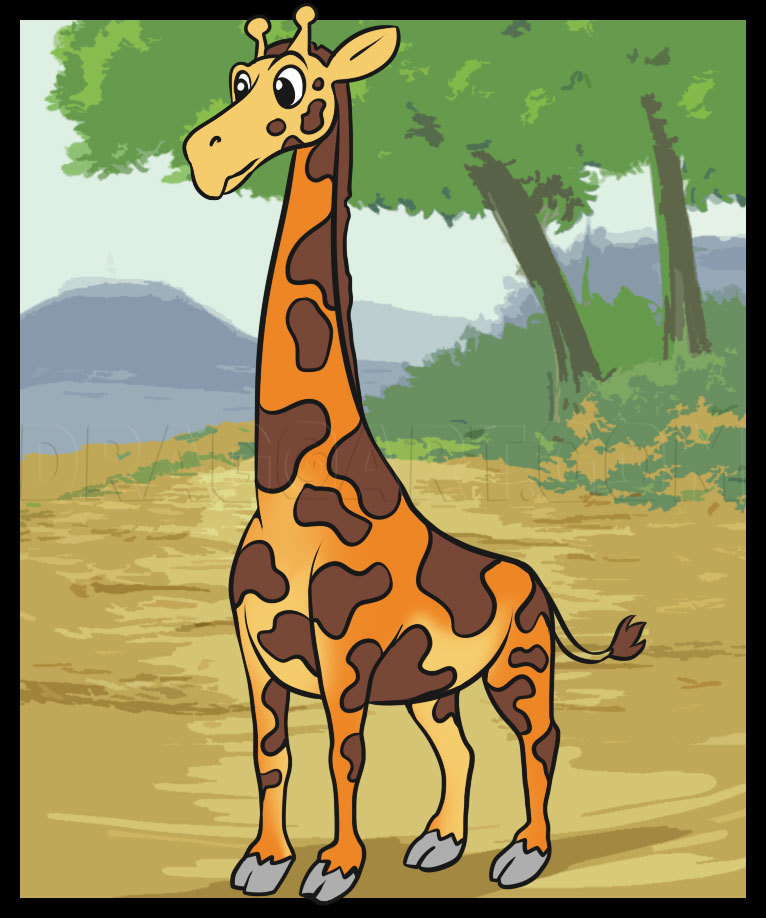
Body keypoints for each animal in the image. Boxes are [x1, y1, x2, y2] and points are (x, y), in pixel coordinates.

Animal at [183, 10, 647, 903]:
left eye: (291, 86)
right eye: (237, 80)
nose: (204, 156)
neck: (283, 500)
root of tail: (540, 586)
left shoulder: (345, 663)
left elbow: (344, 759)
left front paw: (334, 869)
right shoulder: (257, 657)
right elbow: (270, 757)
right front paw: (263, 860)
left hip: (518, 665)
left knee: (540, 738)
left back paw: (523, 854)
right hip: (433, 685)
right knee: (458, 746)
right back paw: (438, 842)